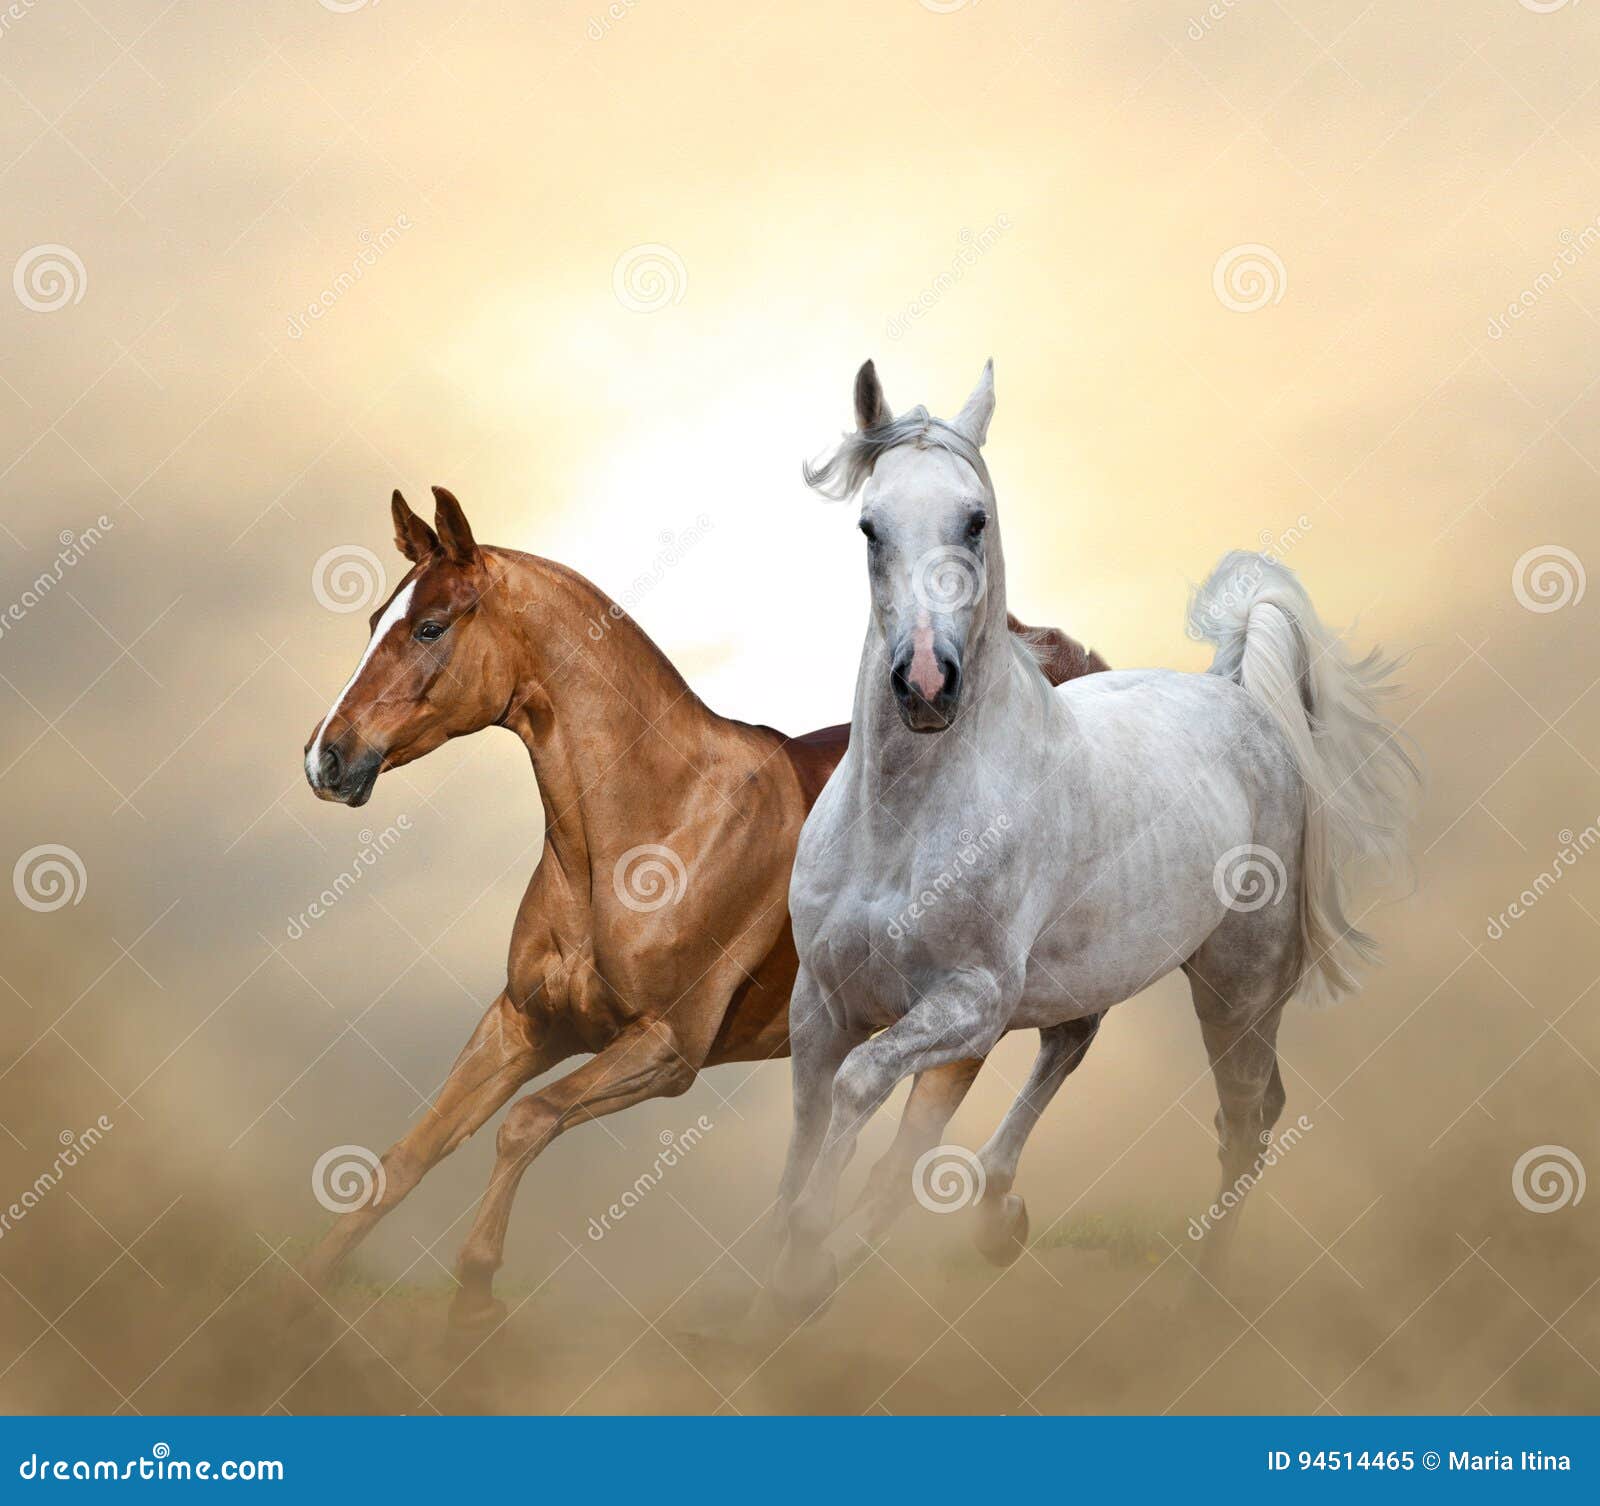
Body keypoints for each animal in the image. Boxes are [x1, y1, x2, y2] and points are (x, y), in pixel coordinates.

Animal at [298, 484, 1107, 1332]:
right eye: (372, 620)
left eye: (430, 626)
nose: (325, 758)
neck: (655, 823)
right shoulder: (524, 1022)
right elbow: (410, 1156)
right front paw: (302, 1294)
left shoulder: (665, 1049)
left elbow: (525, 1122)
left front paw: (477, 1291)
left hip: (975, 1010)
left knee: (944, 1132)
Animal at [770, 359, 1418, 1316]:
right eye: (869, 525)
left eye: (976, 518)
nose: (925, 684)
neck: (900, 828)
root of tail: (1238, 694)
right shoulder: (819, 1002)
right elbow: (808, 1135)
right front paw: (776, 1281)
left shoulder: (968, 1002)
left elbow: (860, 1096)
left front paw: (811, 1262)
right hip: (1096, 969)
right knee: (1073, 1049)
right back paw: (998, 1215)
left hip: (1237, 990)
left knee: (1246, 1118)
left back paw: (1202, 1298)